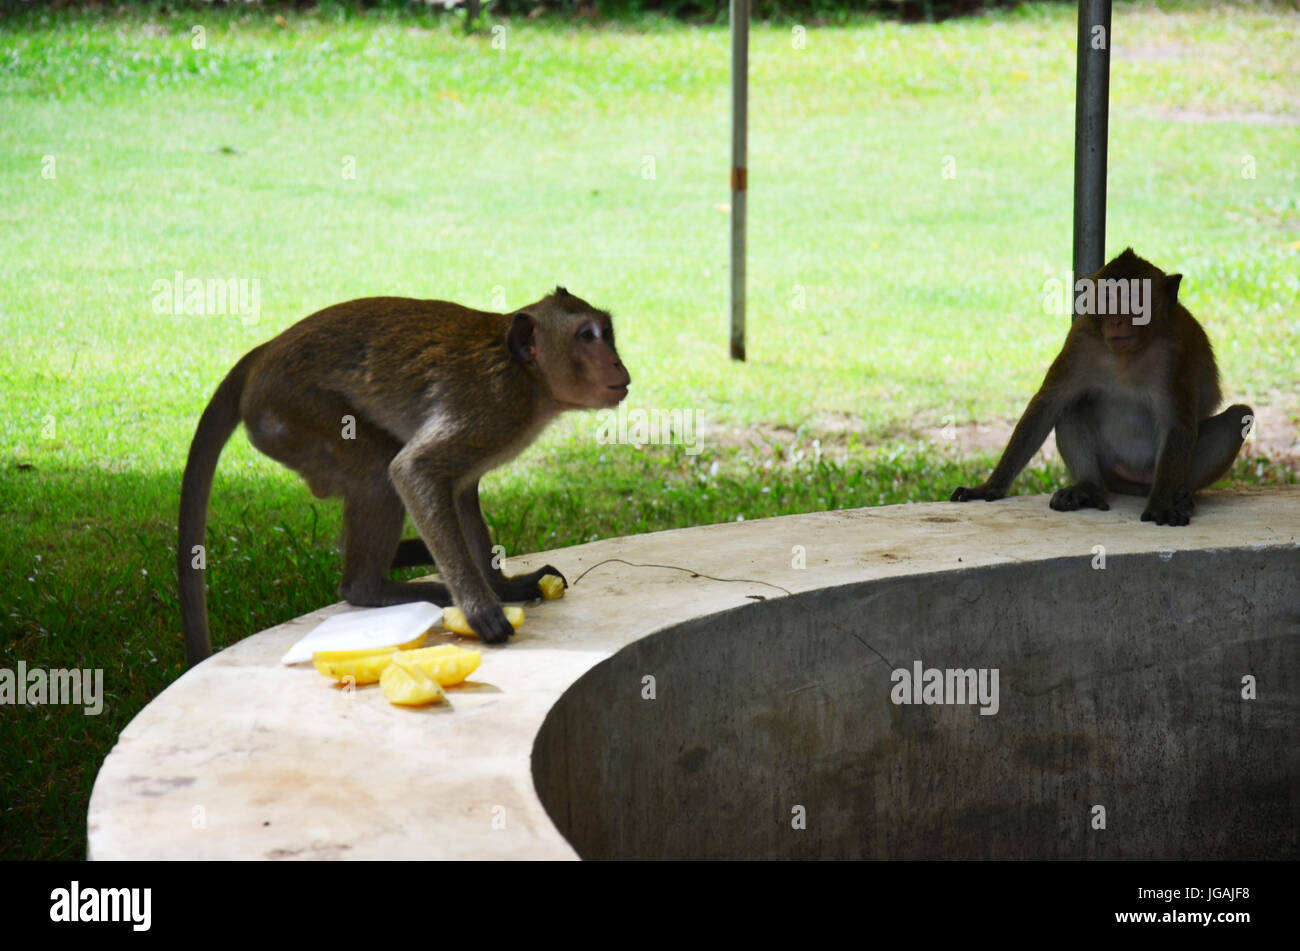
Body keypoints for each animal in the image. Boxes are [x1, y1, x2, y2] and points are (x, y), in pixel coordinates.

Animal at [178, 287, 630, 666]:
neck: (528, 378)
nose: (617, 363)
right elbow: (413, 471)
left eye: (605, 333)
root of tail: (264, 352)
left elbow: (461, 491)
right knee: (378, 473)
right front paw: (480, 608)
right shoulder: (493, 406)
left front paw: (502, 587)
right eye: (587, 336)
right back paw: (374, 587)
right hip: (293, 411)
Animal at [951, 248, 1252, 526]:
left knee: (1239, 417)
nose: (1116, 320)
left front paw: (1162, 506)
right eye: (1107, 298)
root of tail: (1135, 483)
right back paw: (1088, 488)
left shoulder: (1174, 351)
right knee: (1071, 408)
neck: (1126, 356)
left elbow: (1177, 424)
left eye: (1134, 300)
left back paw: (1179, 497)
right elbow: (1048, 404)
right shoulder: (1081, 339)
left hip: (1165, 472)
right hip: (1110, 468)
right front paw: (989, 487)